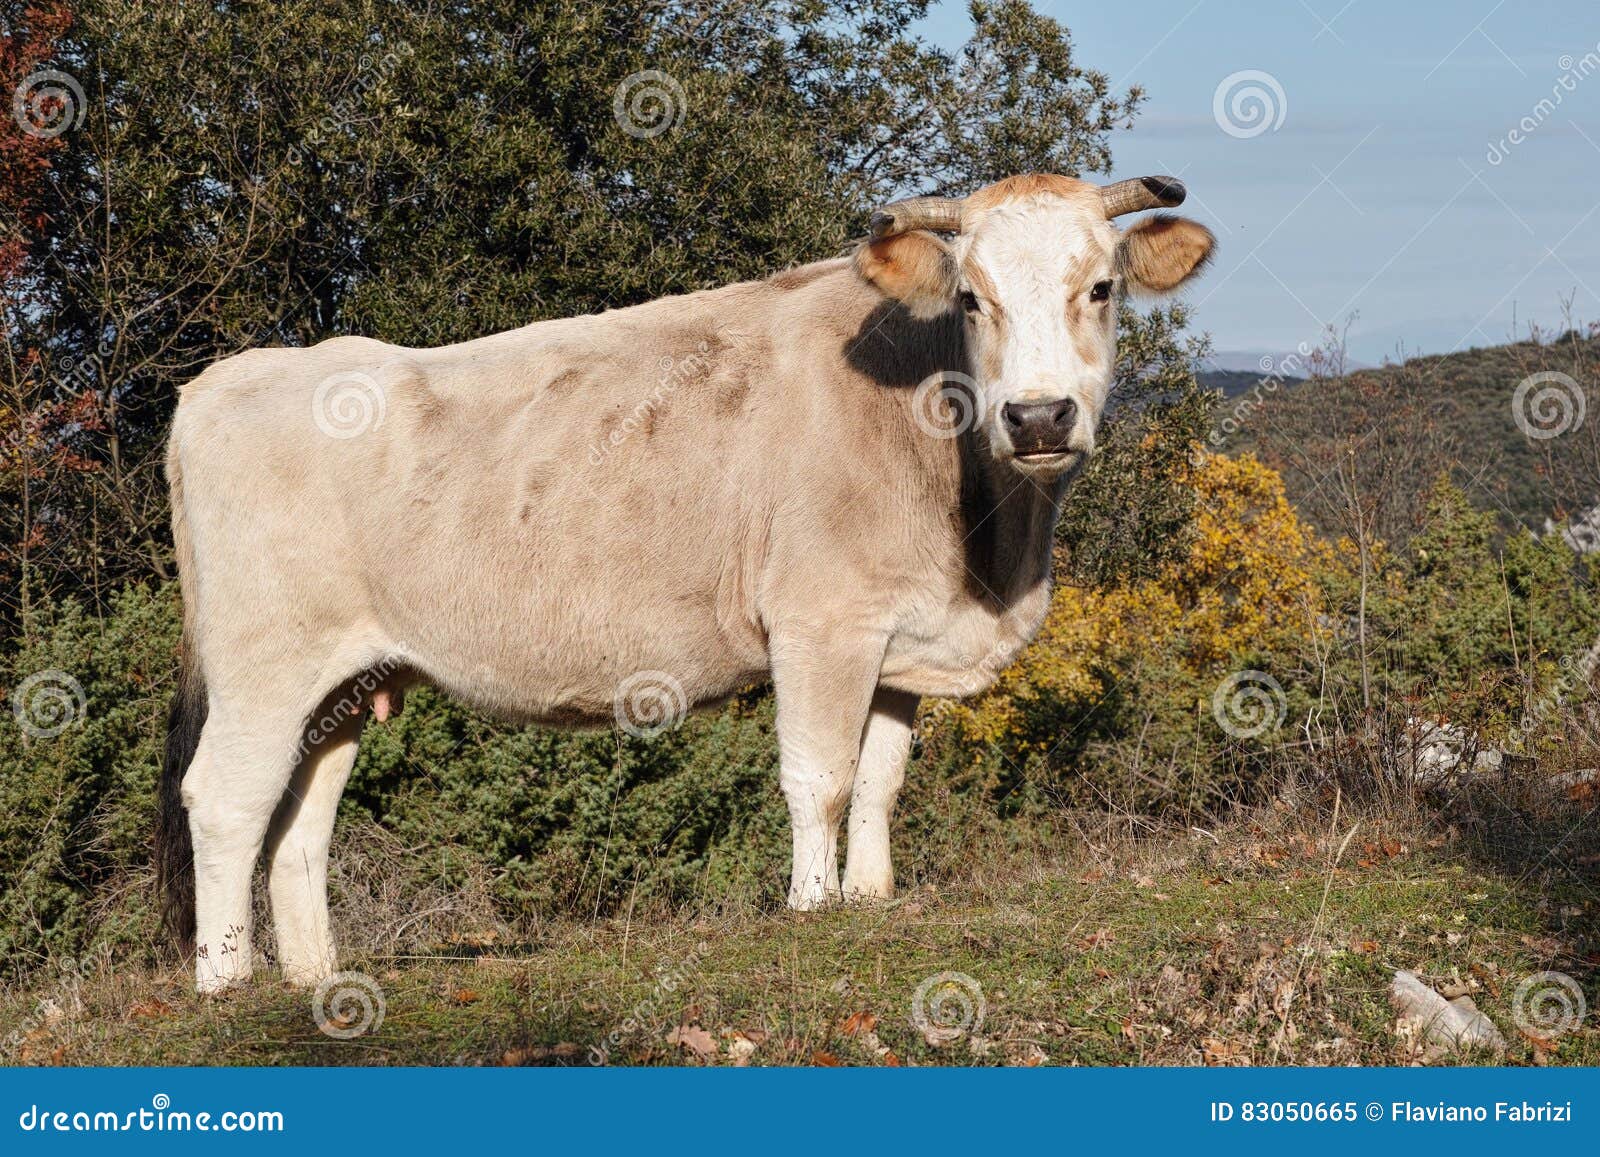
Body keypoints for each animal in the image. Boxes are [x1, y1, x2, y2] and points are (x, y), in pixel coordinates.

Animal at [156, 173, 1215, 992]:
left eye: (1102, 287)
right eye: (970, 300)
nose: (1038, 416)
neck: (989, 546)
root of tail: (226, 379)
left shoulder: (899, 638)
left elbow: (879, 782)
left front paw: (872, 897)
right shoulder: (820, 622)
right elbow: (820, 778)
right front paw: (811, 906)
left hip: (347, 679)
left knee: (299, 823)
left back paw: (316, 977)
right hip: (264, 663)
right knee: (227, 798)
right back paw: (225, 979)